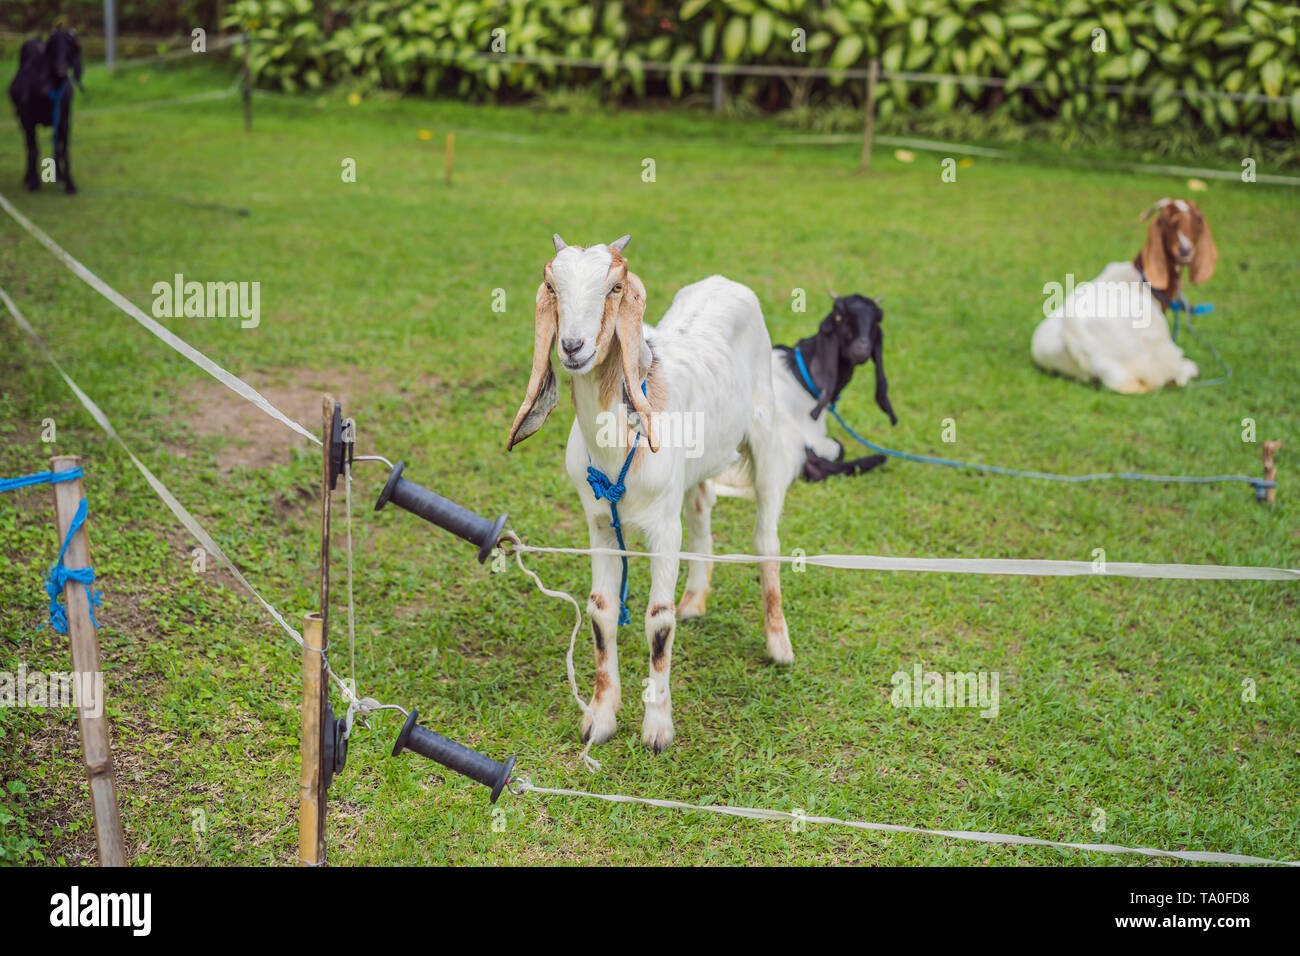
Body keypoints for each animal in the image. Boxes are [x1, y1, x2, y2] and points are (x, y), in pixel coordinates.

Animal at [8, 29, 83, 193]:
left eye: (69, 47)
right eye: (53, 48)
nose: (61, 70)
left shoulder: (64, 121)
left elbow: (63, 151)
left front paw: (69, 184)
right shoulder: (27, 119)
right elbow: (33, 150)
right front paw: (33, 182)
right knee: (28, 147)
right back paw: (27, 177)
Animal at [507, 234, 792, 753]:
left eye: (615, 286)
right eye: (552, 286)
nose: (572, 346)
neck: (617, 446)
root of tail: (725, 281)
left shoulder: (662, 530)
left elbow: (659, 620)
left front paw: (657, 729)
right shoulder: (600, 525)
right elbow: (601, 612)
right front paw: (600, 718)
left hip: (765, 439)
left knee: (766, 537)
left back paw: (779, 645)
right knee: (701, 508)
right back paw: (696, 600)